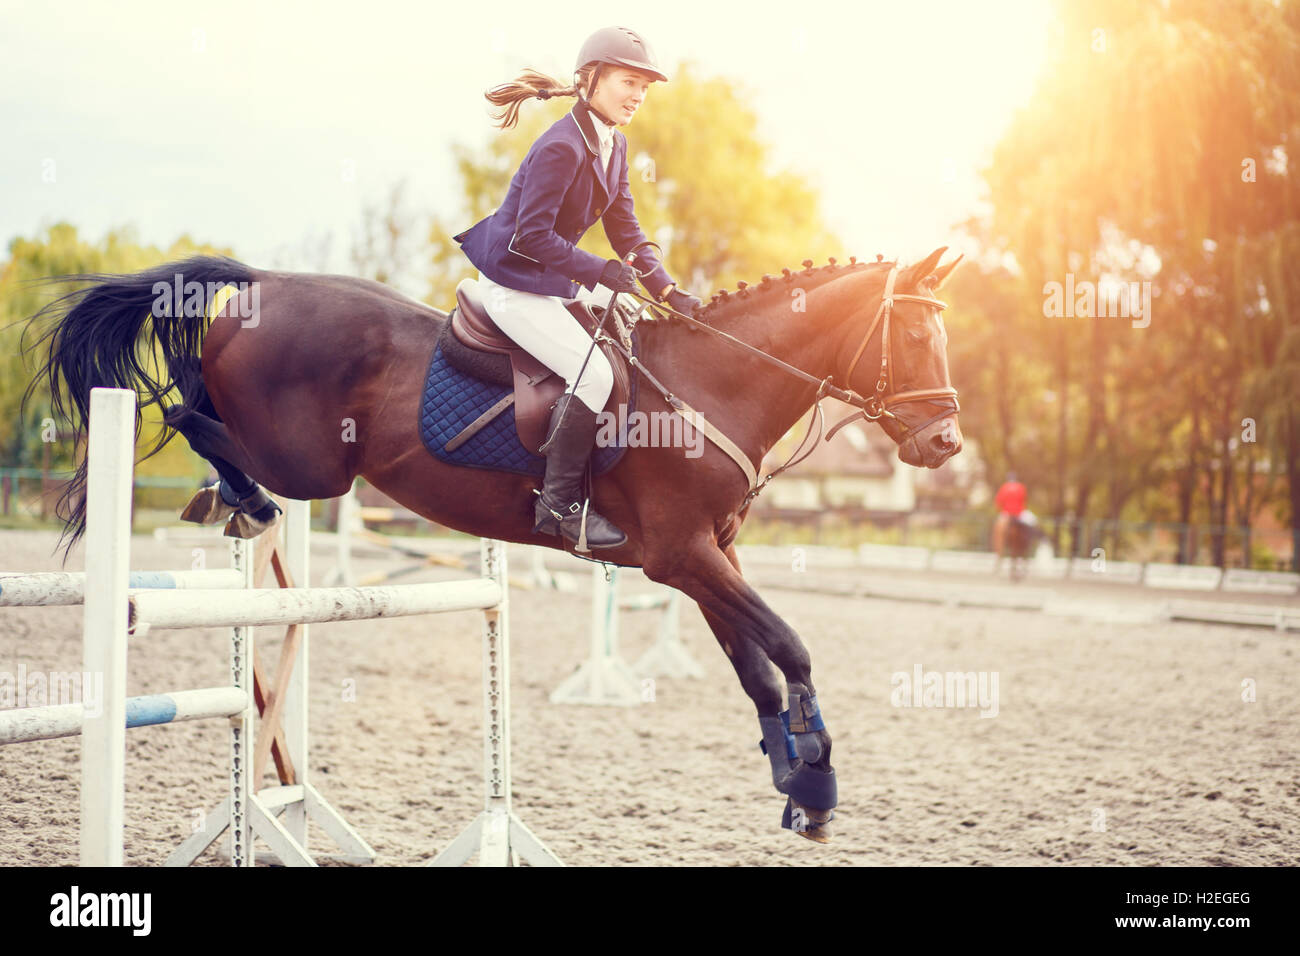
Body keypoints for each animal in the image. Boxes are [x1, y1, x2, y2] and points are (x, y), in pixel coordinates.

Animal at [22, 245, 964, 843]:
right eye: (918, 337)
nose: (946, 444)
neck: (711, 382)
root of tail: (269, 283)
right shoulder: (680, 554)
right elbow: (791, 648)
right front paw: (819, 779)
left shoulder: (708, 558)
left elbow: (757, 668)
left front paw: (794, 785)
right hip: (311, 464)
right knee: (185, 412)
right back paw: (239, 500)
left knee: (194, 407)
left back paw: (229, 498)